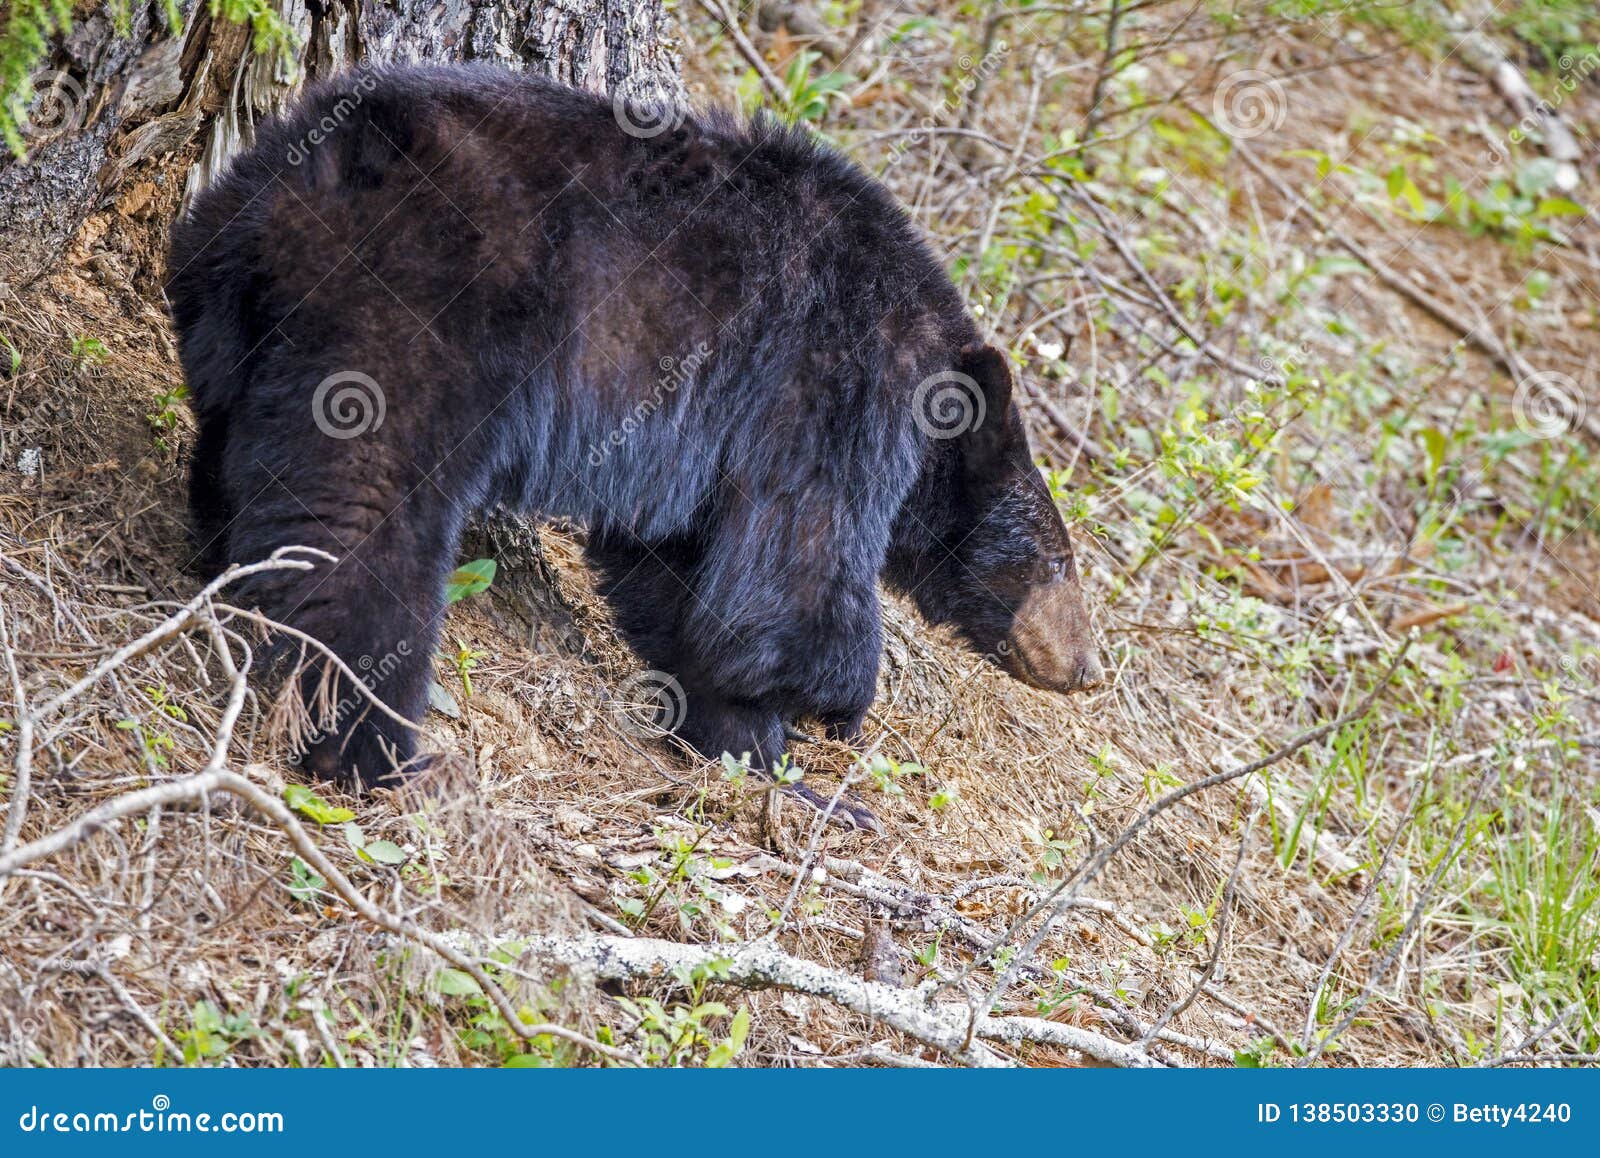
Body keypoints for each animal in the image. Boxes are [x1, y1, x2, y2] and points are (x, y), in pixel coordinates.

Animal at [166, 63, 1102, 813]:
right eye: (1060, 562)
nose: (1088, 666)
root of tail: (322, 168)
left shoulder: (700, 444)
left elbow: (686, 576)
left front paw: (742, 743)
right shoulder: (833, 381)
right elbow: (792, 569)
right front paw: (830, 718)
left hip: (226, 292)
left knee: (236, 448)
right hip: (404, 317)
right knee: (368, 516)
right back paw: (371, 744)